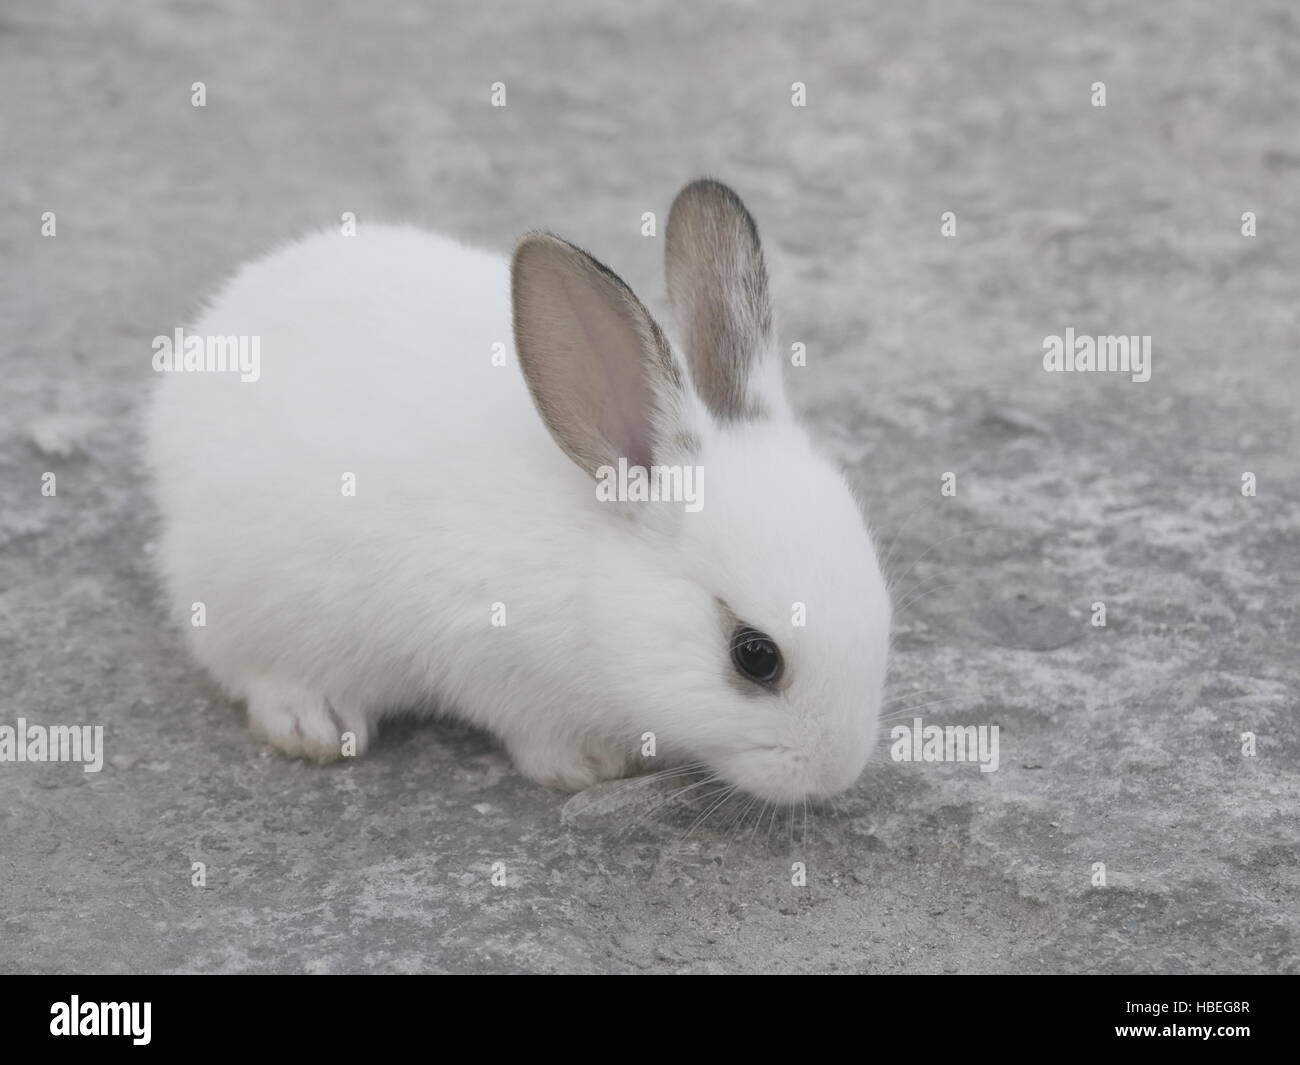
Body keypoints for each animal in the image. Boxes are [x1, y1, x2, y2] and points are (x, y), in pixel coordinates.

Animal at [145, 179, 891, 803]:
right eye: (754, 656)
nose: (837, 771)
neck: (598, 586)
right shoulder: (490, 658)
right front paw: (589, 767)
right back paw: (314, 723)